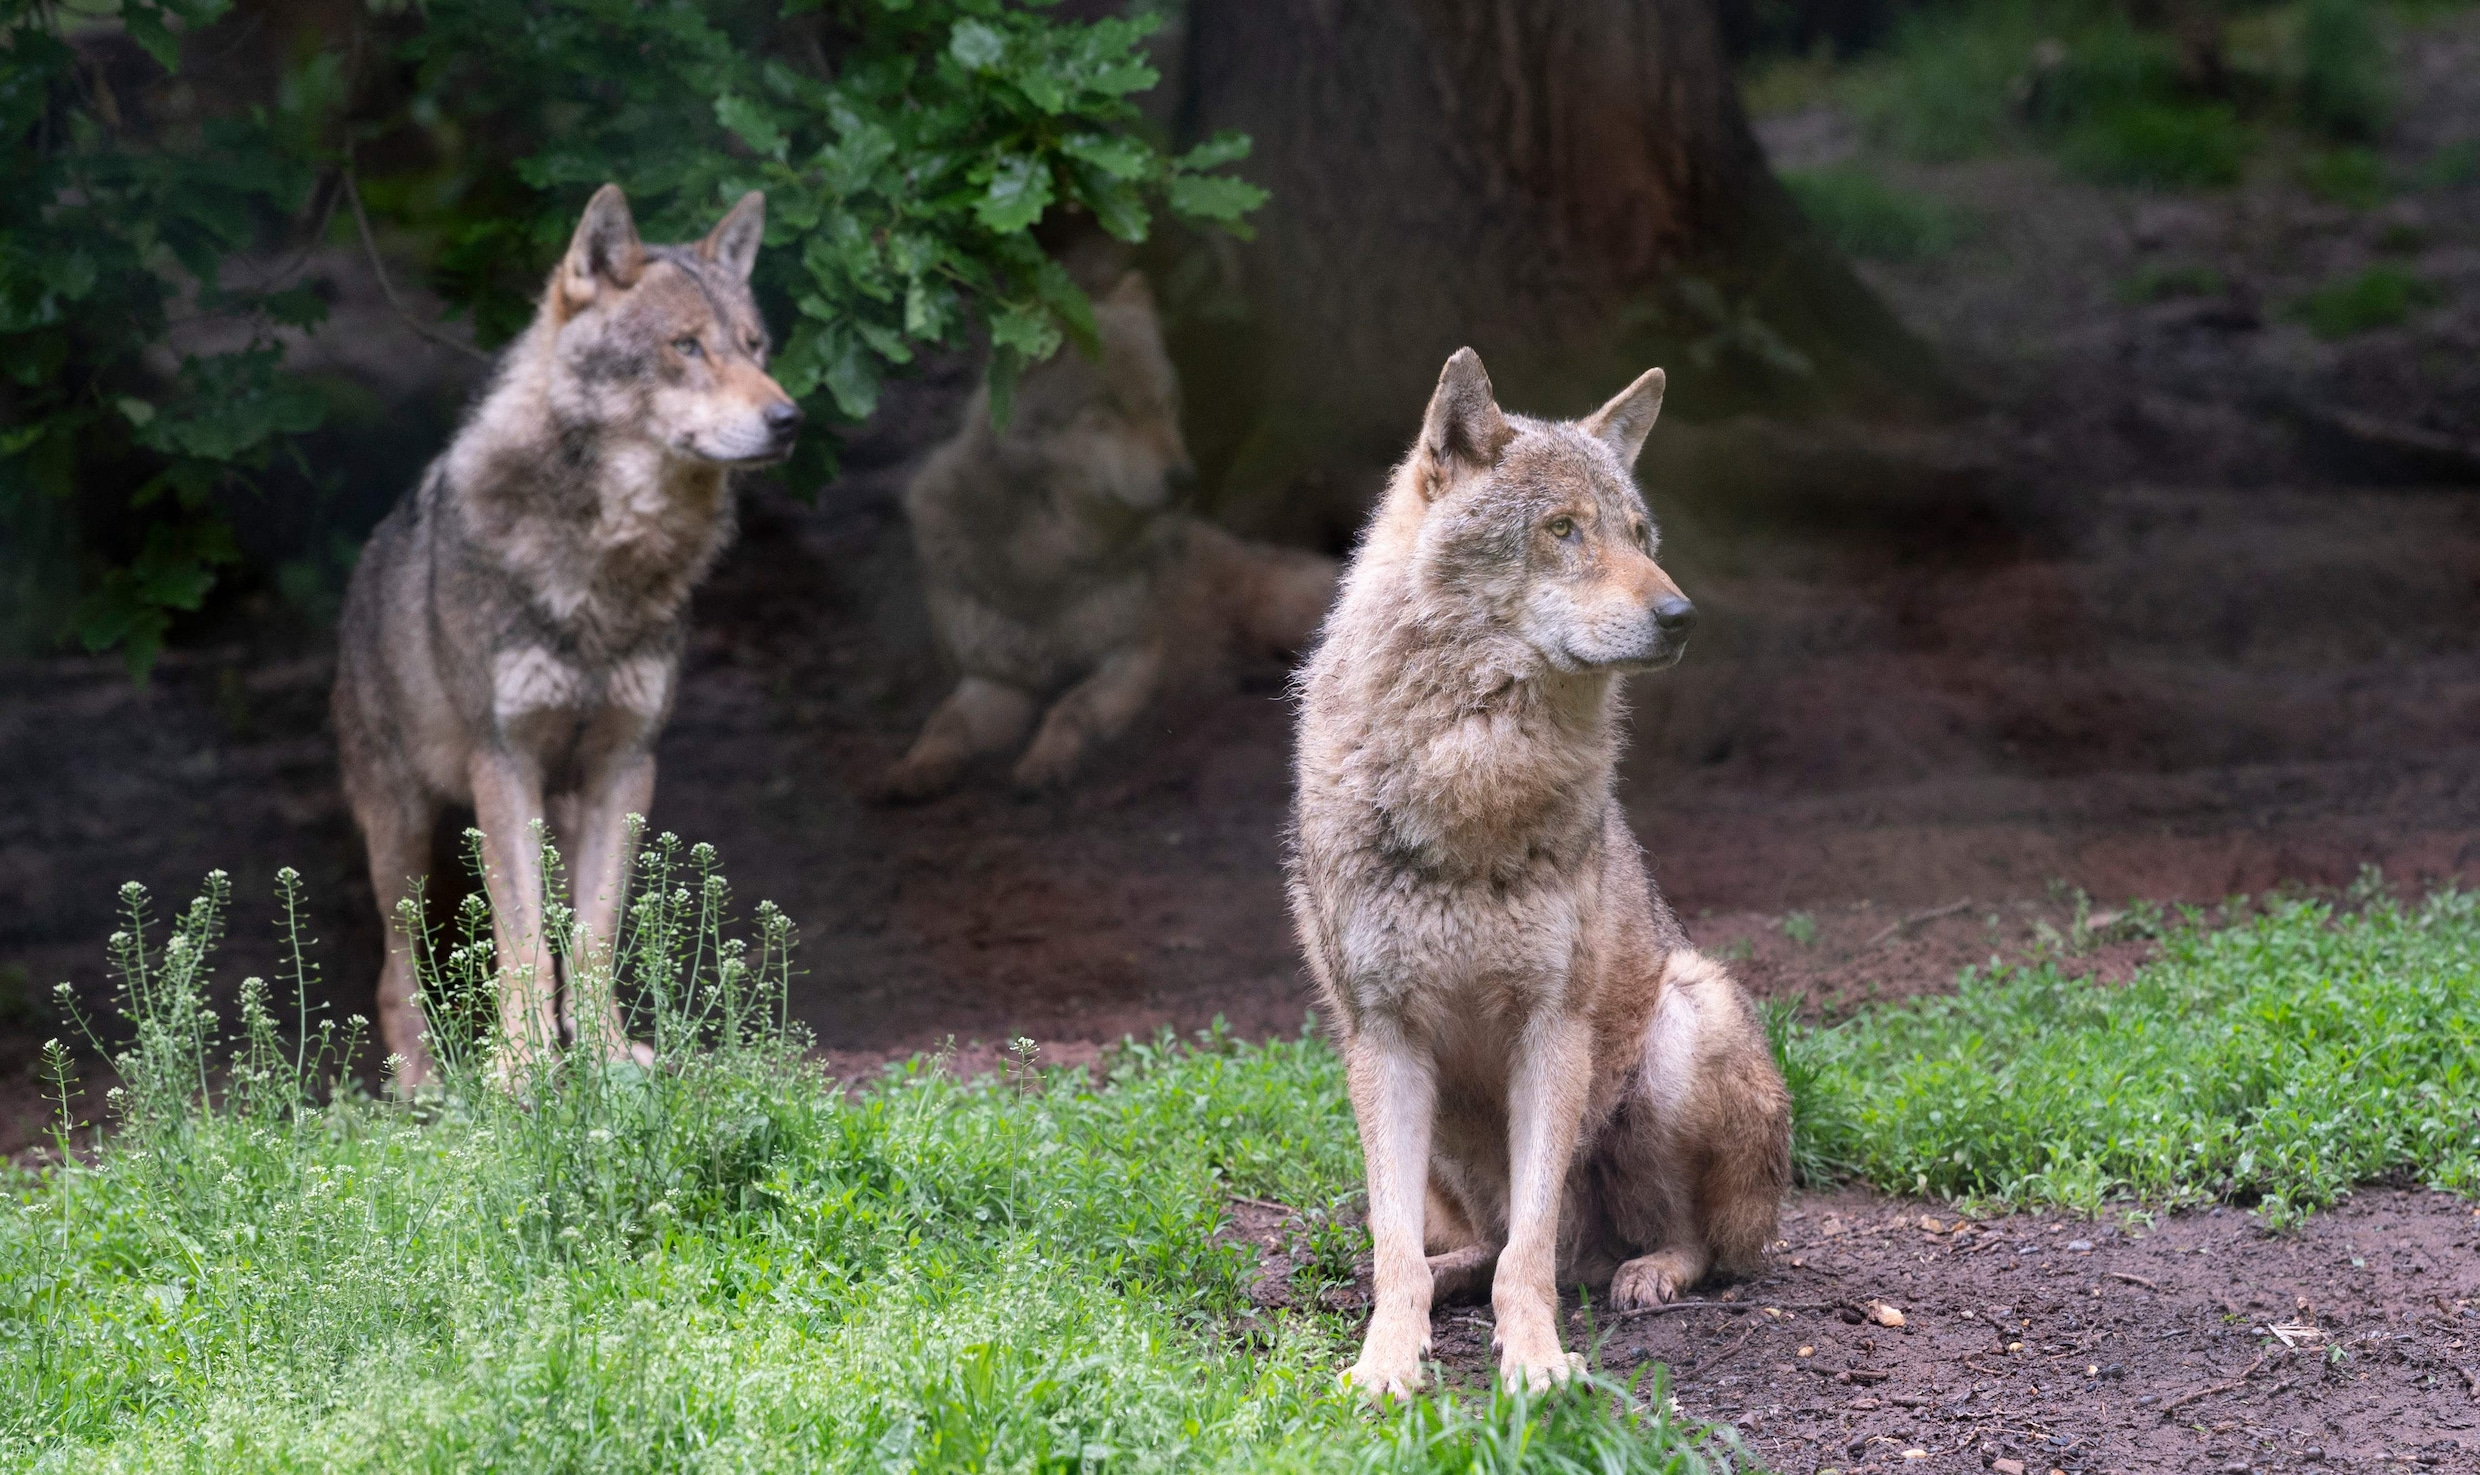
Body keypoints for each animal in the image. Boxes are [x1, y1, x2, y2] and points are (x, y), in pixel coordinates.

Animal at [333, 185, 800, 1085]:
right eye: (685, 346)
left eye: (754, 345)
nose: (788, 418)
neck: (606, 559)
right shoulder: (504, 758)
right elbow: (521, 940)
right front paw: (519, 1070)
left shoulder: (626, 761)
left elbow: (592, 935)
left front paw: (609, 1057)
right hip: (401, 830)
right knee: (395, 968)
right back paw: (420, 1080)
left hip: (559, 807)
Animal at [879, 272, 1337, 798]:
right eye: (1108, 413)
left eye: (1165, 406)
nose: (1185, 480)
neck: (1047, 562)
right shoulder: (995, 680)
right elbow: (944, 723)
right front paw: (916, 768)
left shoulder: (1131, 657)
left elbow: (1071, 706)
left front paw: (1045, 763)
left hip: (1279, 609)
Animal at [1288, 348, 1791, 1395]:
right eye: (1563, 530)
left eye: (1639, 535)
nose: (1681, 614)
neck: (1476, 770)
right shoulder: (1383, 1035)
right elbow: (1395, 1244)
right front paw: (1386, 1363)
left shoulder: (1551, 1029)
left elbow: (1531, 1245)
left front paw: (1538, 1364)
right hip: (1424, 1126)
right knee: (1469, 1243)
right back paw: (1445, 1278)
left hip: (1683, 1024)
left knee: (1674, 1240)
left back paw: (1647, 1272)